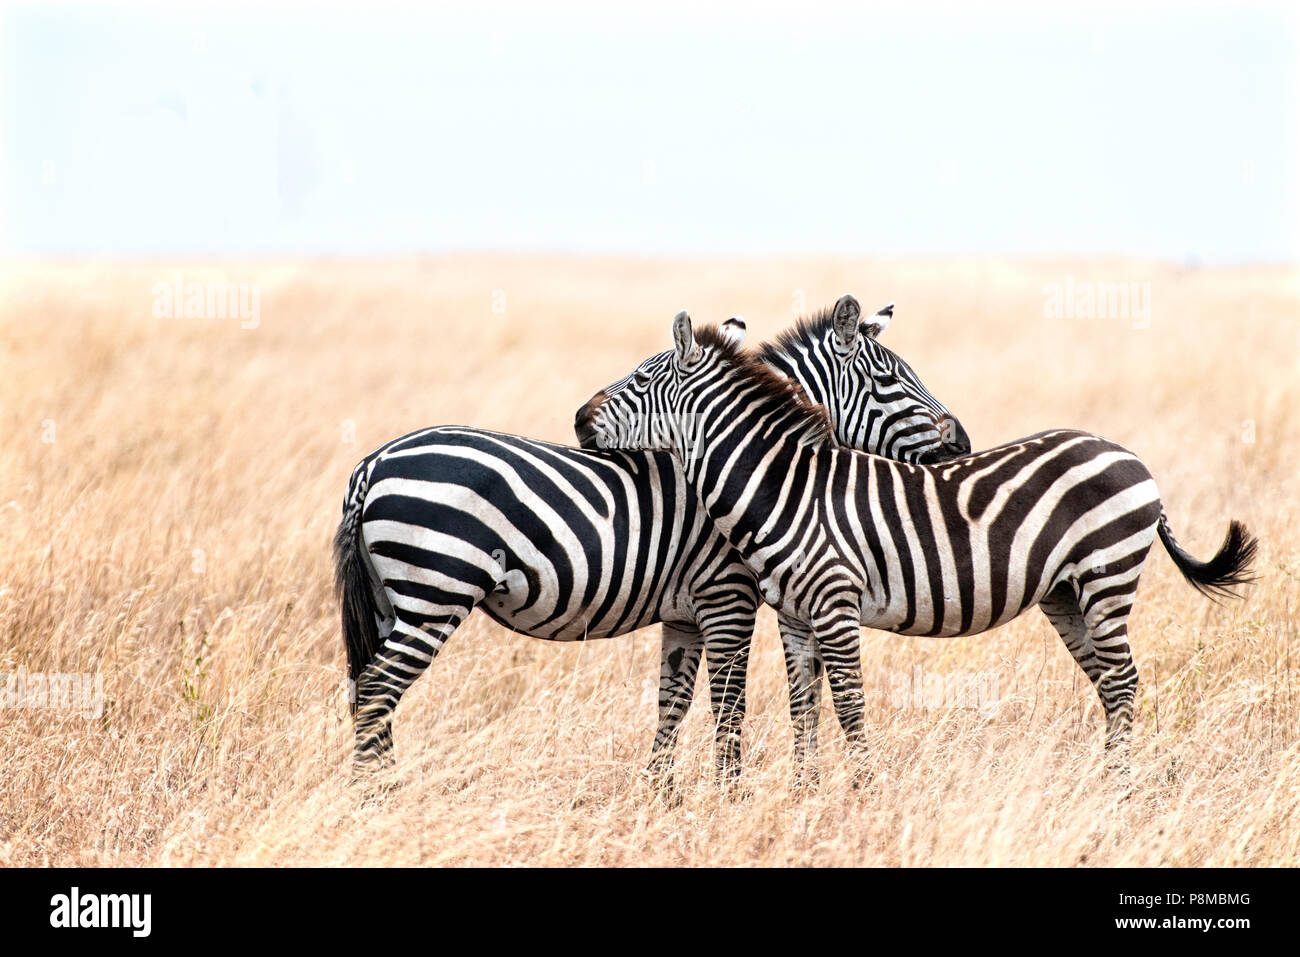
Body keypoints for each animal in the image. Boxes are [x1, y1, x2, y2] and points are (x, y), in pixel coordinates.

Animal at [335, 297, 970, 785]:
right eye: (890, 380)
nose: (961, 443)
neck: (763, 468)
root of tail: (373, 462)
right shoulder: (727, 595)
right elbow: (728, 705)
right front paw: (729, 798)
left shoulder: (685, 612)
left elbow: (675, 704)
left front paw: (662, 798)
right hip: (435, 591)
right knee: (377, 690)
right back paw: (376, 801)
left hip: (394, 600)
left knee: (367, 691)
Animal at [575, 311, 1258, 780]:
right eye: (891, 377)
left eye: (640, 380)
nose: (579, 420)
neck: (782, 483)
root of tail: (1126, 453)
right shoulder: (794, 616)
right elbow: (804, 708)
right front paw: (803, 795)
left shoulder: (835, 602)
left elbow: (849, 705)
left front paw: (862, 794)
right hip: (1066, 593)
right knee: (1109, 683)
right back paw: (1110, 780)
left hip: (1107, 574)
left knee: (1122, 681)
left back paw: (1117, 787)